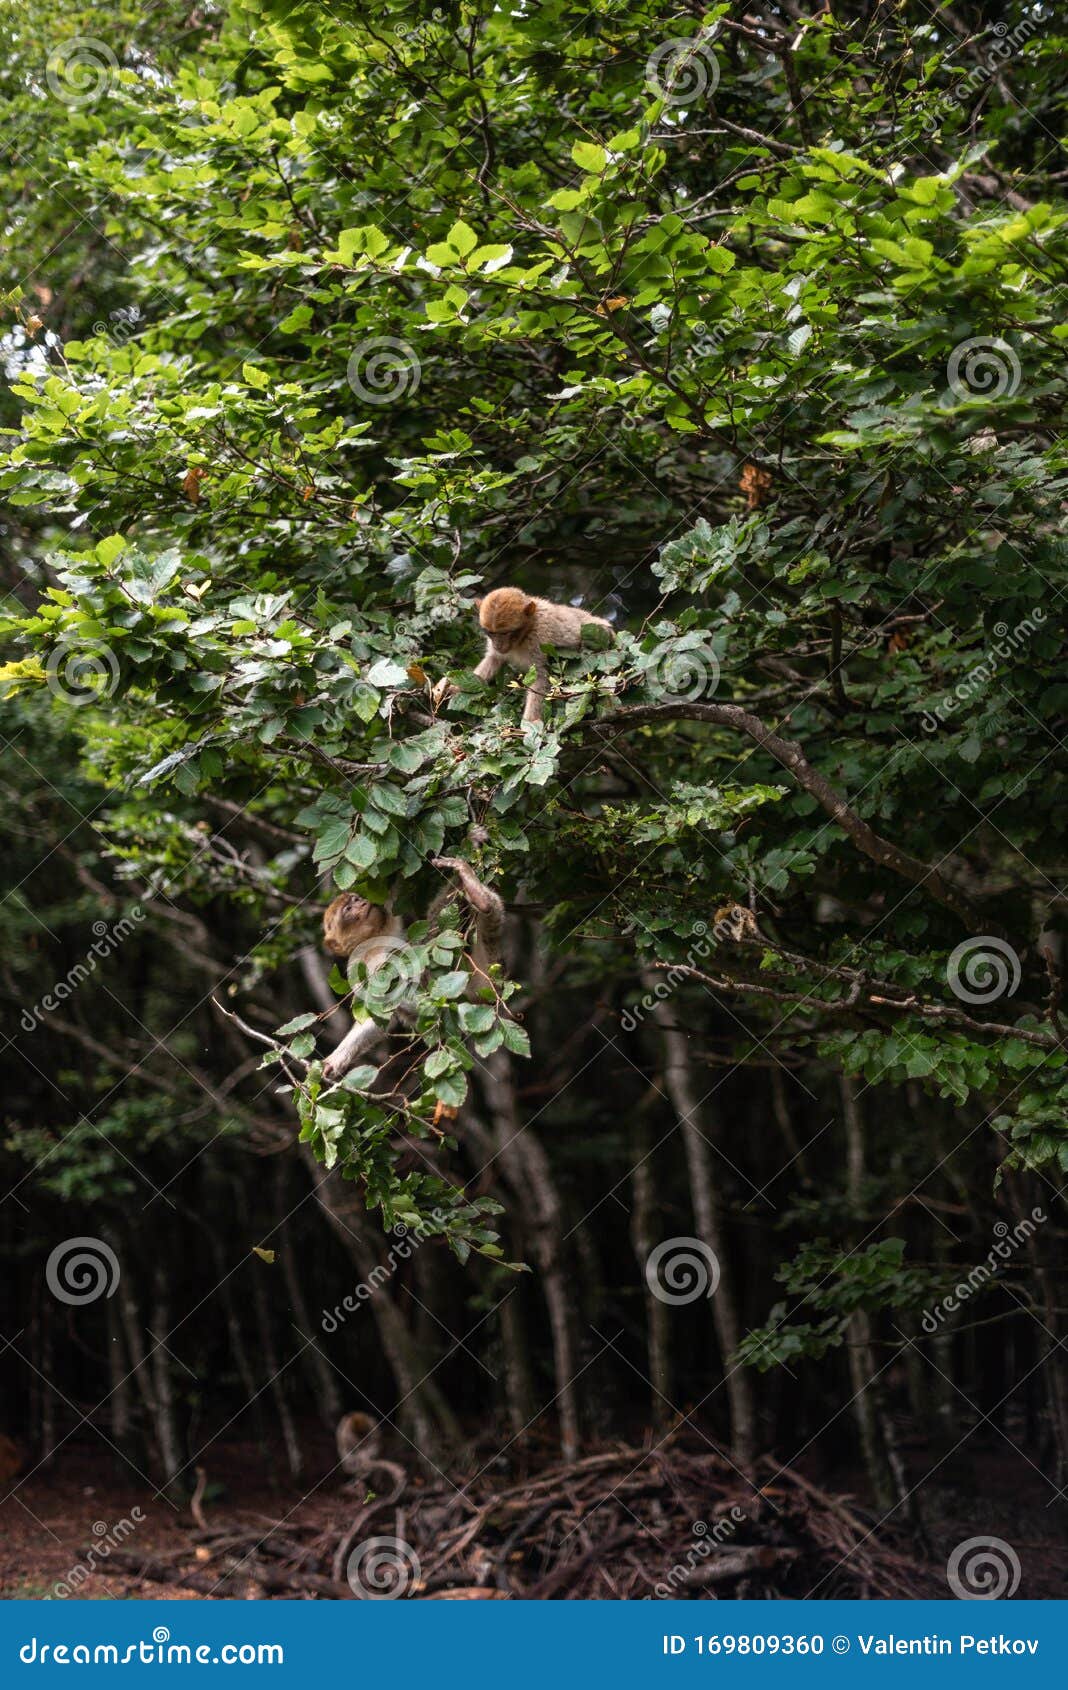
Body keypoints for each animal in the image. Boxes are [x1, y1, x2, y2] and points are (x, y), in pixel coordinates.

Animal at [472, 587, 613, 724]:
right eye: (491, 633)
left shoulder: (539, 638)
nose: (498, 645)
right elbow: (493, 660)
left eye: (505, 633)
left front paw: (529, 724)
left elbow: (540, 676)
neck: (526, 632)